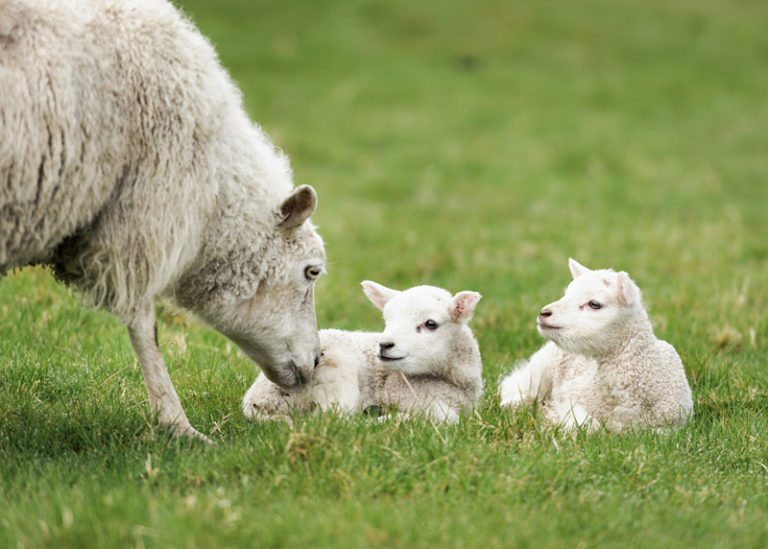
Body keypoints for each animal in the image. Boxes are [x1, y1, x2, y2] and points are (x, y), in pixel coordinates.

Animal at [0, 0, 326, 440]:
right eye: (312, 271)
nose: (318, 360)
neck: (211, 186)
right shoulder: (142, 216)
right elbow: (145, 325)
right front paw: (178, 426)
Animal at [242, 282, 484, 423]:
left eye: (431, 324)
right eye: (387, 320)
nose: (384, 345)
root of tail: (254, 401)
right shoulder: (405, 394)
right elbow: (447, 417)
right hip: (338, 372)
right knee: (330, 420)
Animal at [499, 259, 693, 432]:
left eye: (594, 304)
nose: (544, 313)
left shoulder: (669, 427)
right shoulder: (572, 398)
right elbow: (589, 426)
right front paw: (549, 415)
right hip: (540, 370)